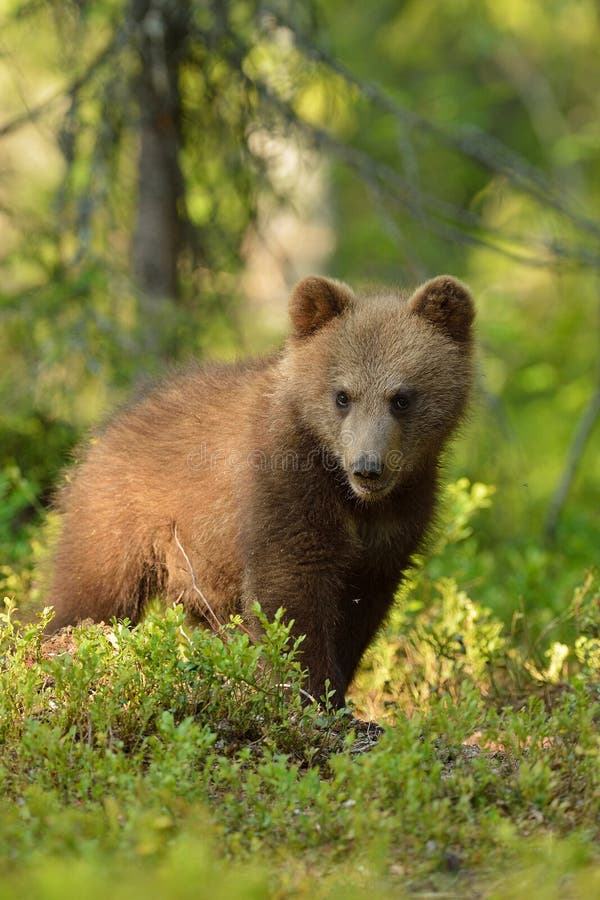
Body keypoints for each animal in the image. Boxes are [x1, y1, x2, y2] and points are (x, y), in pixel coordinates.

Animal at [46, 274, 475, 707]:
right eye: (342, 395)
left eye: (401, 398)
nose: (368, 468)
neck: (349, 494)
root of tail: (105, 429)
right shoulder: (282, 486)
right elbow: (289, 587)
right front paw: (308, 689)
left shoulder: (397, 518)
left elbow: (361, 604)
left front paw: (335, 687)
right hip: (118, 518)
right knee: (87, 594)